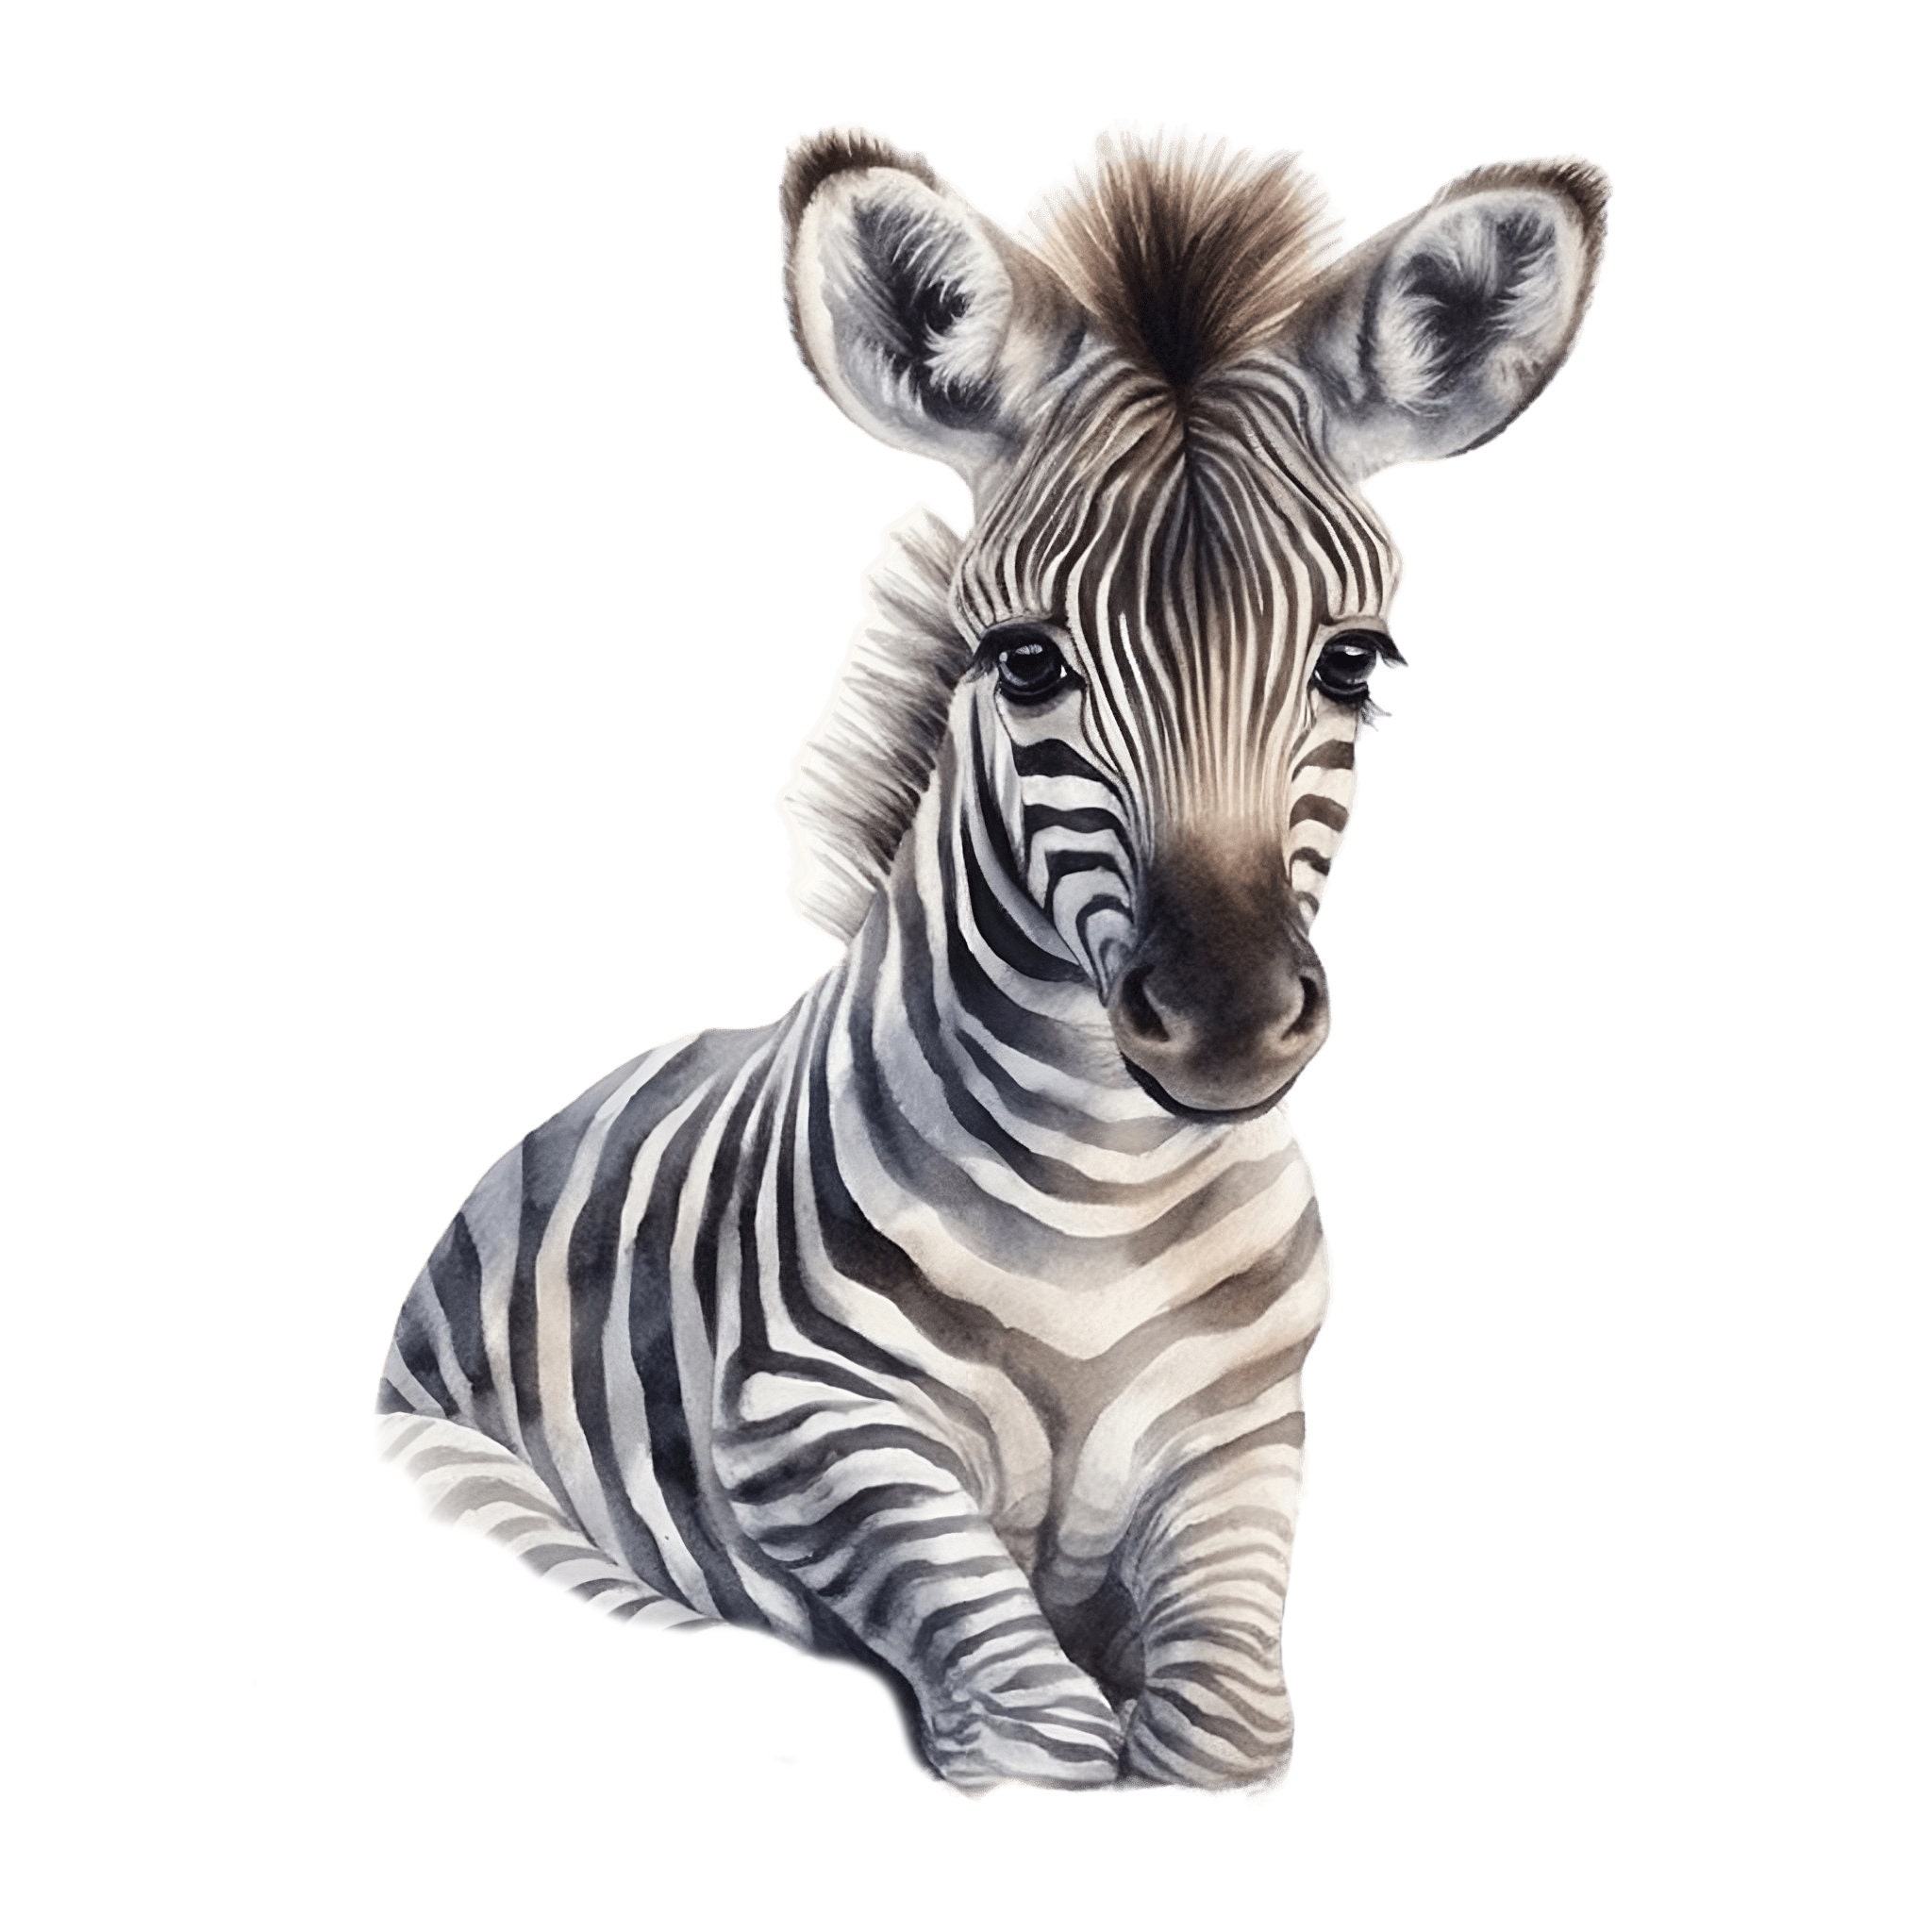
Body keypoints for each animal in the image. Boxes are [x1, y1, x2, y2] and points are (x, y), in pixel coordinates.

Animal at [379, 130, 1606, 1789]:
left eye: (1355, 662)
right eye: (1023, 660)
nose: (1227, 1021)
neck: (1108, 1195)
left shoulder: (1245, 1440)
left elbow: (1225, 1726)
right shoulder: (806, 1437)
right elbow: (1041, 1728)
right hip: (456, 1473)